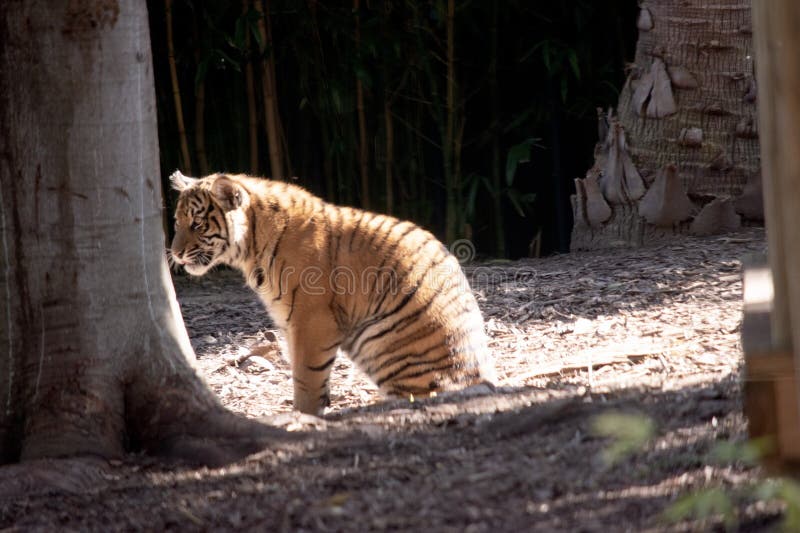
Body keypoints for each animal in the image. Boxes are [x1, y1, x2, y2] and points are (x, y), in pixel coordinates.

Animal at [168, 171, 495, 415]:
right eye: (177, 222)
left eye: (196, 223)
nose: (175, 254)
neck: (250, 245)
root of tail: (485, 382)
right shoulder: (290, 325)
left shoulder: (312, 322)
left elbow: (306, 377)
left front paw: (304, 416)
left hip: (382, 341)